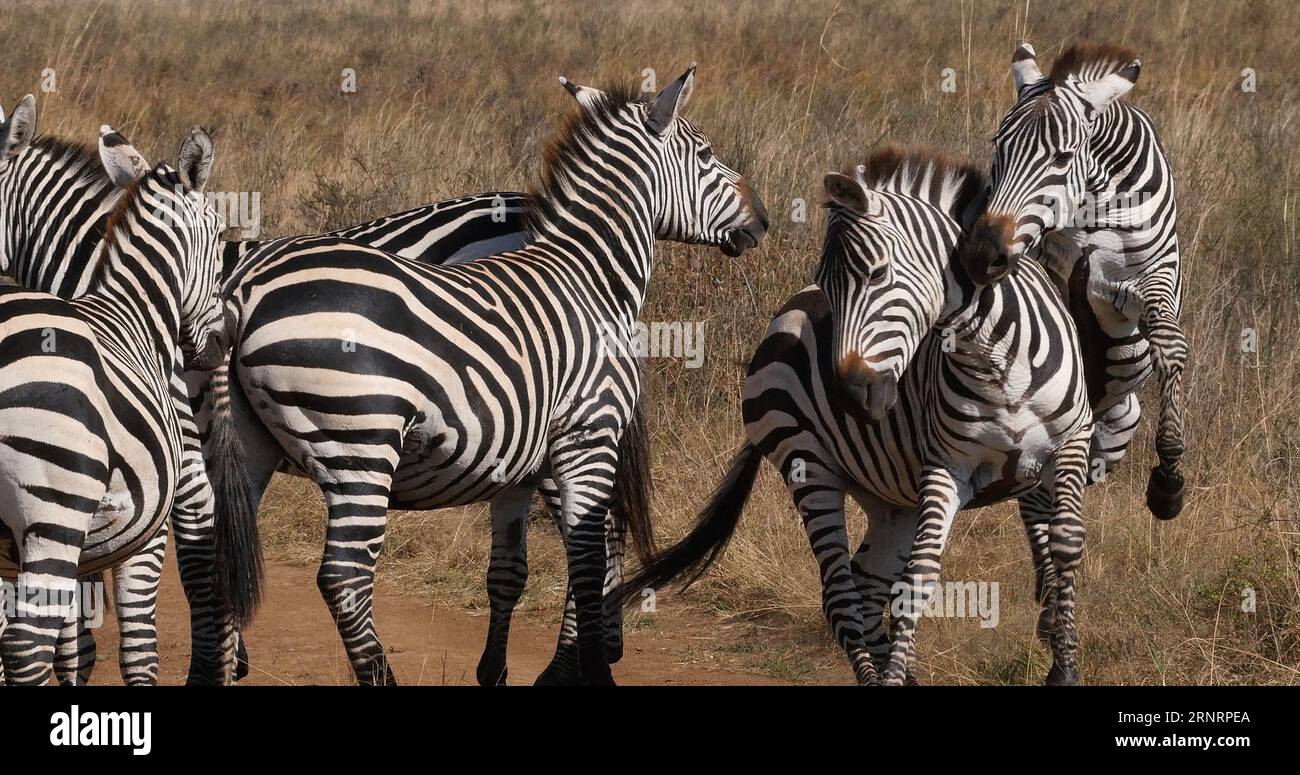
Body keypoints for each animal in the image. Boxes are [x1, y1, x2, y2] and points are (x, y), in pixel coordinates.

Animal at [0, 97, 237, 685]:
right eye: (219, 236)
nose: (224, 338)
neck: (128, 311)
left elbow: (76, 646)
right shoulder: (143, 530)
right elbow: (137, 649)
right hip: (55, 508)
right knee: (25, 647)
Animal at [205, 64, 767, 685]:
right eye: (707, 152)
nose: (764, 220)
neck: (589, 277)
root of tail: (243, 293)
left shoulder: (520, 461)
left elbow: (513, 570)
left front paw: (505, 671)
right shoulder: (588, 437)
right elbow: (587, 561)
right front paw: (589, 670)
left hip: (250, 444)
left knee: (223, 561)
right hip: (360, 443)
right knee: (344, 575)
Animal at [620, 149, 1093, 685]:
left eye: (877, 274)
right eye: (830, 289)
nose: (848, 394)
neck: (993, 359)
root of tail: (779, 320)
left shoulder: (1071, 445)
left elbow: (1063, 547)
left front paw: (1063, 665)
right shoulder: (947, 467)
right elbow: (919, 580)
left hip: (890, 499)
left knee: (869, 584)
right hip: (809, 466)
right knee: (841, 594)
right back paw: (878, 674)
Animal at [969, 41, 1188, 521]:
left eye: (1063, 157)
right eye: (998, 148)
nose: (984, 253)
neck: (1091, 203)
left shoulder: (1148, 280)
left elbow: (1169, 343)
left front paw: (1168, 479)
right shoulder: (1044, 267)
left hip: (1118, 426)